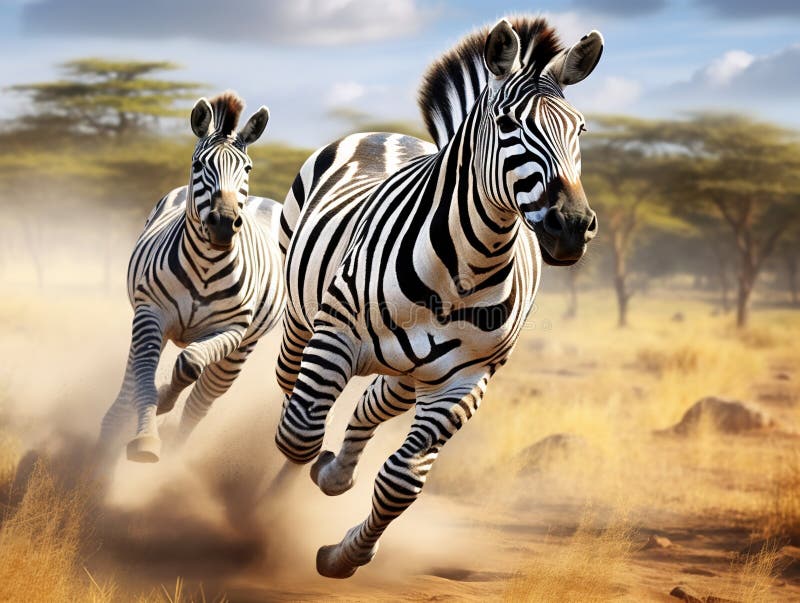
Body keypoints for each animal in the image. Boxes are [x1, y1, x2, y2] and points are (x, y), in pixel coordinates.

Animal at [99, 92, 286, 464]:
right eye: (198, 165)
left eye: (247, 168)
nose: (224, 223)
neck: (206, 266)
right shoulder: (150, 312)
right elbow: (144, 374)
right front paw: (145, 436)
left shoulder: (231, 330)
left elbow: (189, 365)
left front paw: (163, 402)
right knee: (131, 375)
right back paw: (114, 424)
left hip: (242, 348)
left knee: (203, 398)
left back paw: (177, 452)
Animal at [274, 17, 603, 577]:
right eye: (507, 124)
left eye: (579, 129)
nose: (572, 228)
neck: (466, 266)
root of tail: (385, 134)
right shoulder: (335, 333)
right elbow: (298, 433)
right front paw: (248, 513)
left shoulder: (468, 379)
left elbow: (402, 483)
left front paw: (345, 556)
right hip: (301, 325)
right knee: (289, 401)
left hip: (414, 372)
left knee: (372, 403)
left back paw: (335, 473)